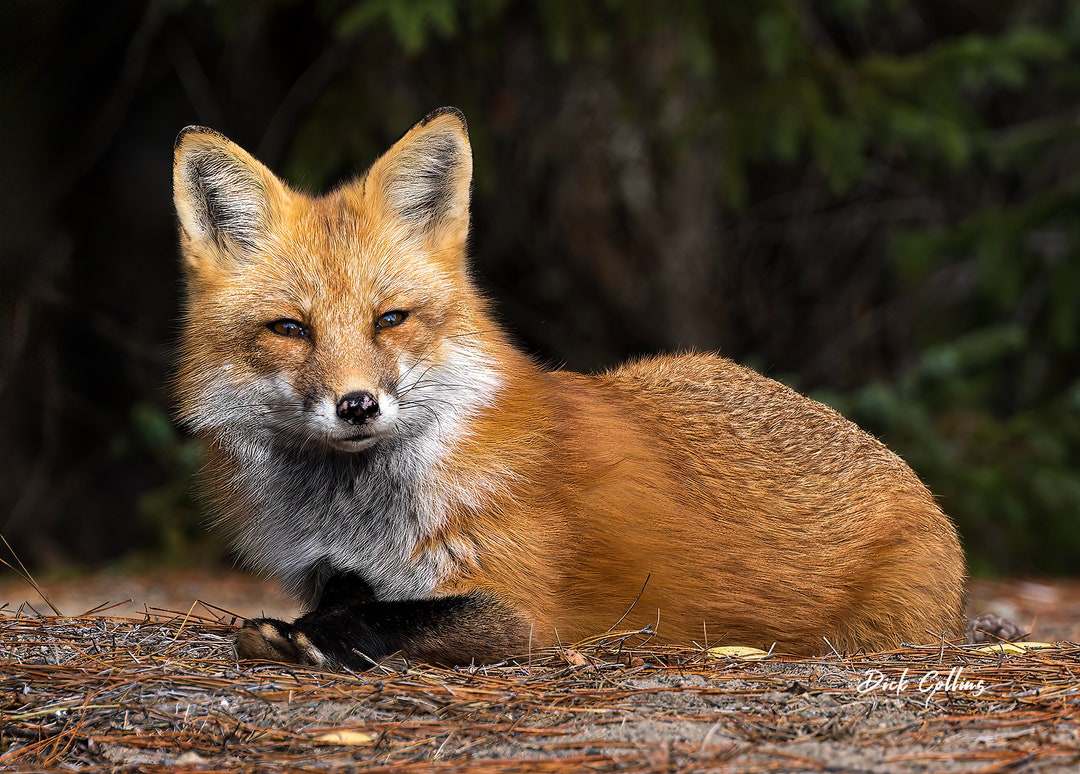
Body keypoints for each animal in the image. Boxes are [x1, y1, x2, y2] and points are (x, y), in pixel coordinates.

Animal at [171, 107, 966, 669]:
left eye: (389, 319)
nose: (358, 405)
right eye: (290, 329)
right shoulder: (334, 566)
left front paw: (316, 636)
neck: (360, 514)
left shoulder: (524, 611)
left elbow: (408, 613)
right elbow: (349, 591)